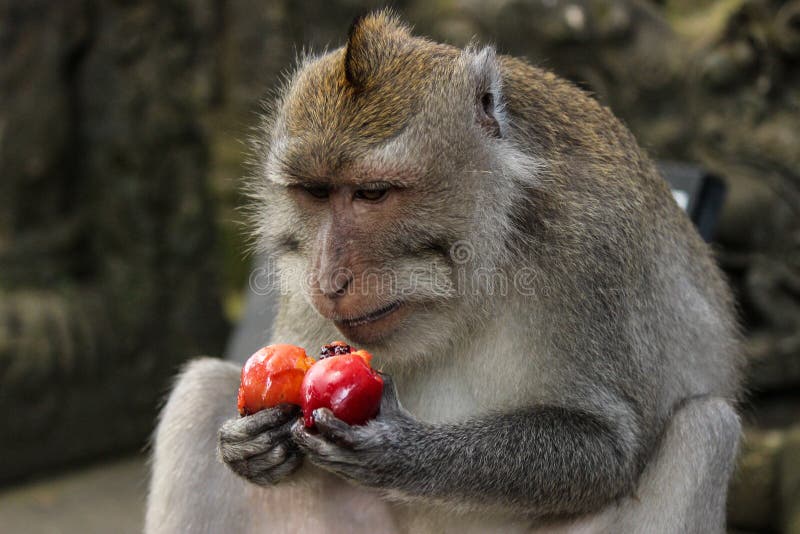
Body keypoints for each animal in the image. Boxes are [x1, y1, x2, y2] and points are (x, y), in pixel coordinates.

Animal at [146, 10, 743, 534]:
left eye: (372, 193)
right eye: (314, 192)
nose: (328, 281)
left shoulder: (593, 246)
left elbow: (608, 446)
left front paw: (403, 453)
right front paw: (248, 443)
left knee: (705, 431)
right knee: (202, 387)